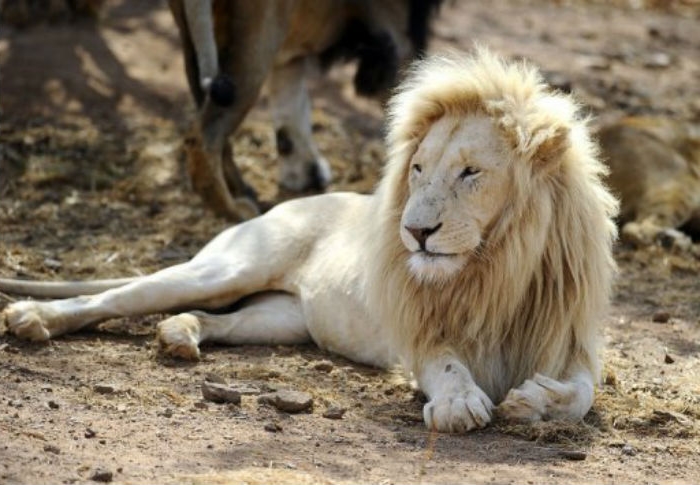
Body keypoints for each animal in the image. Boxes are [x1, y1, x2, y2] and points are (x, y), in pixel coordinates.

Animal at [0, 49, 618, 432]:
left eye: (470, 173)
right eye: (417, 169)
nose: (415, 232)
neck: (502, 265)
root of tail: (289, 204)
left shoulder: (570, 341)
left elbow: (584, 394)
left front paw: (538, 400)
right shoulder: (420, 333)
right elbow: (446, 365)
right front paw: (461, 402)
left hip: (285, 316)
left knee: (220, 320)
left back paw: (180, 335)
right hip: (229, 268)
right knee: (114, 297)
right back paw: (32, 318)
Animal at [169, 0, 442, 220]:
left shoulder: (292, 60)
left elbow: (292, 110)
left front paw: (303, 175)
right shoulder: (395, 33)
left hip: (196, 44)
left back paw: (245, 191)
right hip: (256, 40)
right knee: (204, 135)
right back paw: (236, 210)